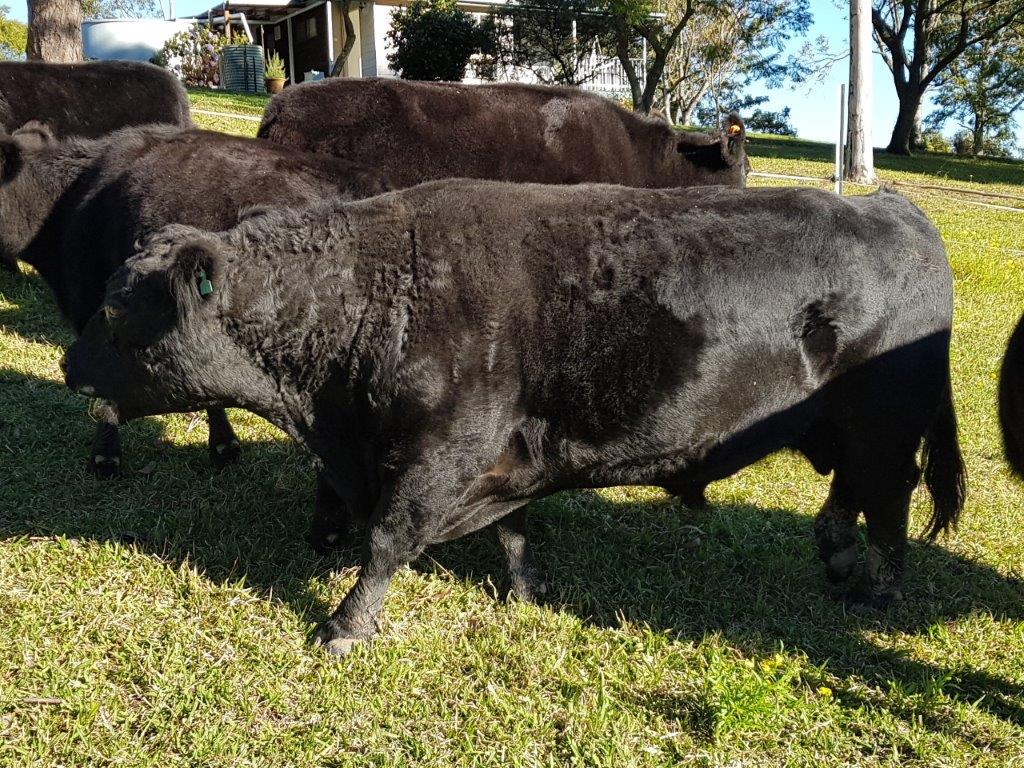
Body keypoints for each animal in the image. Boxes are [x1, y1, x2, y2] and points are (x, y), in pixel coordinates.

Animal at [65, 181, 966, 655]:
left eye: (114, 312)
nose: (71, 364)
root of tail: (894, 207)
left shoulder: (441, 452)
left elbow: (387, 539)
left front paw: (346, 625)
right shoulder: (500, 455)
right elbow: (512, 530)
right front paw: (526, 590)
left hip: (887, 431)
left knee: (889, 507)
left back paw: (876, 589)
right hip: (850, 432)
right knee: (850, 499)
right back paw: (838, 557)